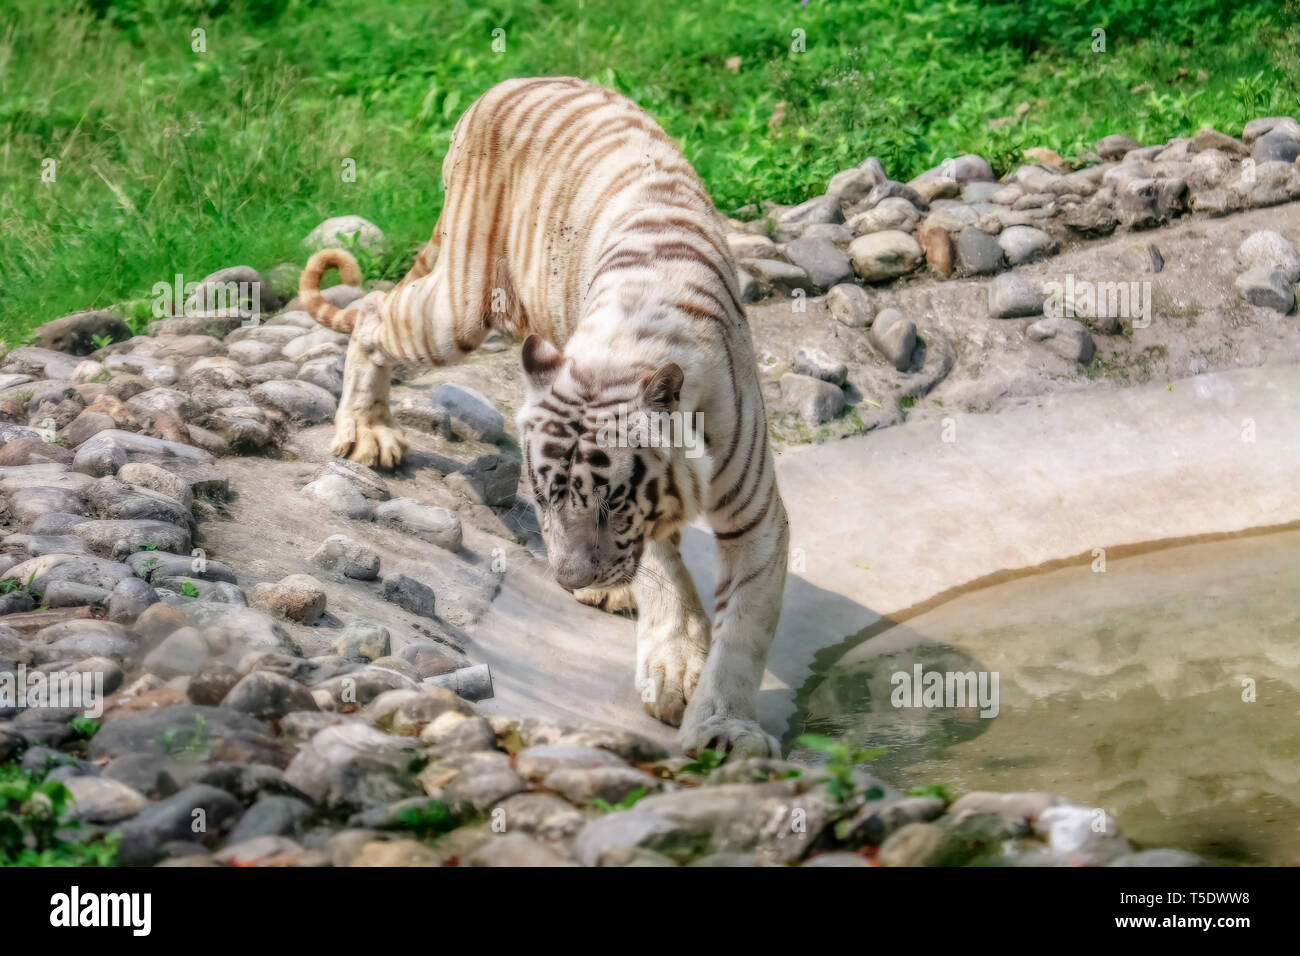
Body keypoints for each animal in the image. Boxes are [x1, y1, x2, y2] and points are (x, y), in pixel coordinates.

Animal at [297, 77, 789, 758]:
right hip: (459, 308)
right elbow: (663, 570)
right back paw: (367, 433)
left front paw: (722, 727)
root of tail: (507, 83)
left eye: (611, 503)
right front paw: (676, 668)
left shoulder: (756, 517)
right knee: (372, 312)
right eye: (543, 494)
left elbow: (743, 631)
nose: (567, 577)